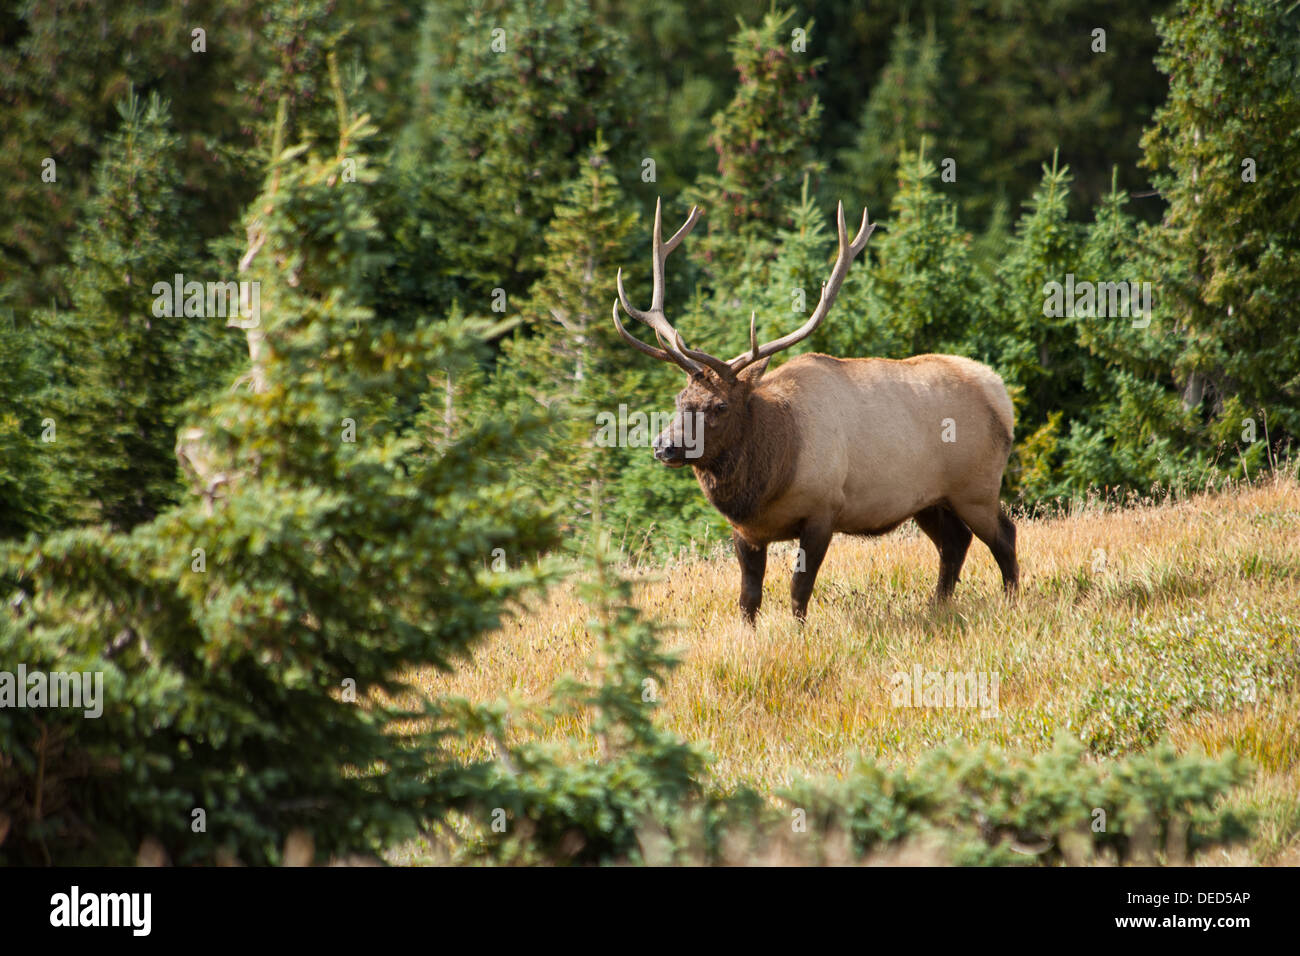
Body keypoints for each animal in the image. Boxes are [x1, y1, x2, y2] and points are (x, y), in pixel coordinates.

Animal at [612, 198, 1019, 623]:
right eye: (680, 399)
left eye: (719, 405)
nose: (664, 446)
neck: (768, 480)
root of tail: (1000, 393)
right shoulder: (746, 531)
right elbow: (748, 597)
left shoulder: (824, 508)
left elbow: (798, 589)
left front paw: (798, 630)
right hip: (929, 499)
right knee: (955, 543)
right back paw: (937, 605)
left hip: (976, 485)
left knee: (1003, 536)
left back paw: (1011, 601)